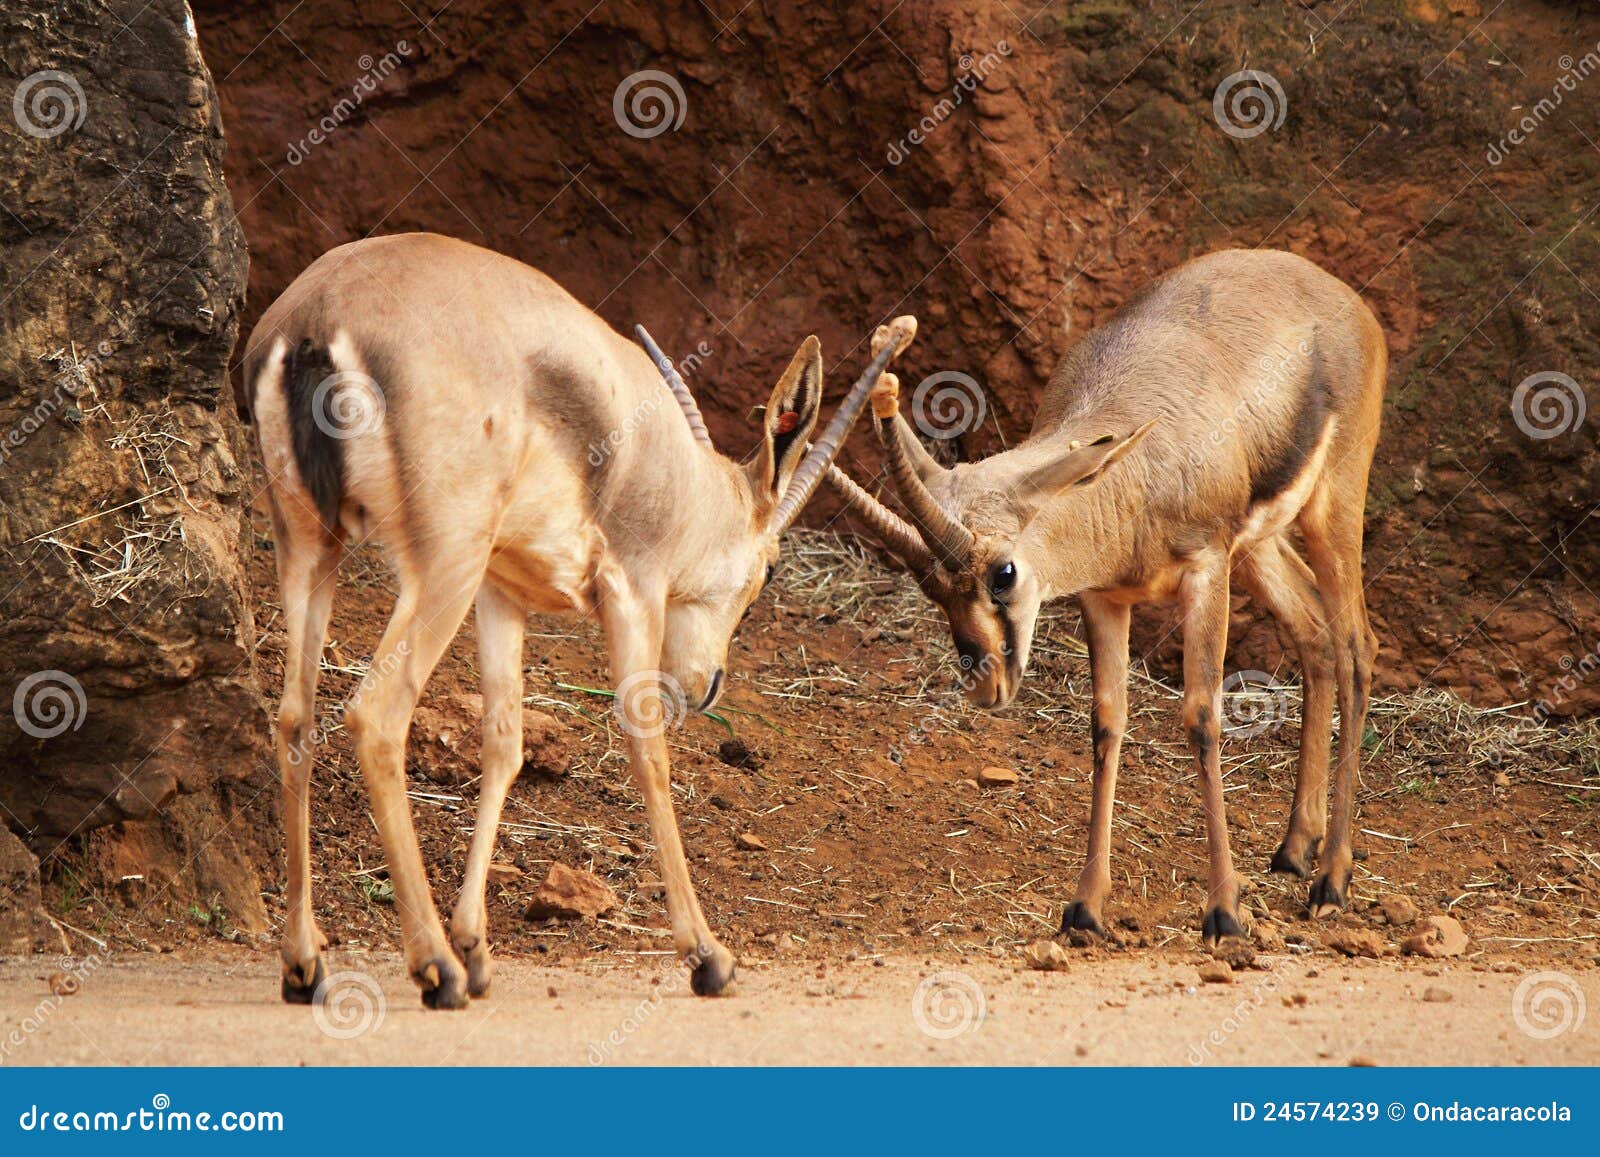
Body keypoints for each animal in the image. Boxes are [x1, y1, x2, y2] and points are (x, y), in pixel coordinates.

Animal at [245, 231, 916, 1008]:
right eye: (771, 568)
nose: (708, 682)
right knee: (376, 715)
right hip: (441, 564)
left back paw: (306, 966)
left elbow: (504, 745)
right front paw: (707, 956)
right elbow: (648, 748)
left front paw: (478, 947)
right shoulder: (632, 589)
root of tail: (318, 316)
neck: (668, 474)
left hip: (310, 546)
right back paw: (434, 969)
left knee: (295, 718)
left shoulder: (500, 593)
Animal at [831, 249, 1385, 942]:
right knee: (1314, 636)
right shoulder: (1105, 597)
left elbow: (1202, 718)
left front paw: (1225, 914)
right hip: (1259, 548)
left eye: (1003, 573)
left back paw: (1331, 880)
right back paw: (1293, 850)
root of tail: (1342, 296)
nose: (986, 684)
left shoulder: (1206, 571)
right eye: (930, 587)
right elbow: (1106, 723)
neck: (1131, 479)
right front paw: (1085, 909)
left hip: (1330, 508)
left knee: (1356, 646)